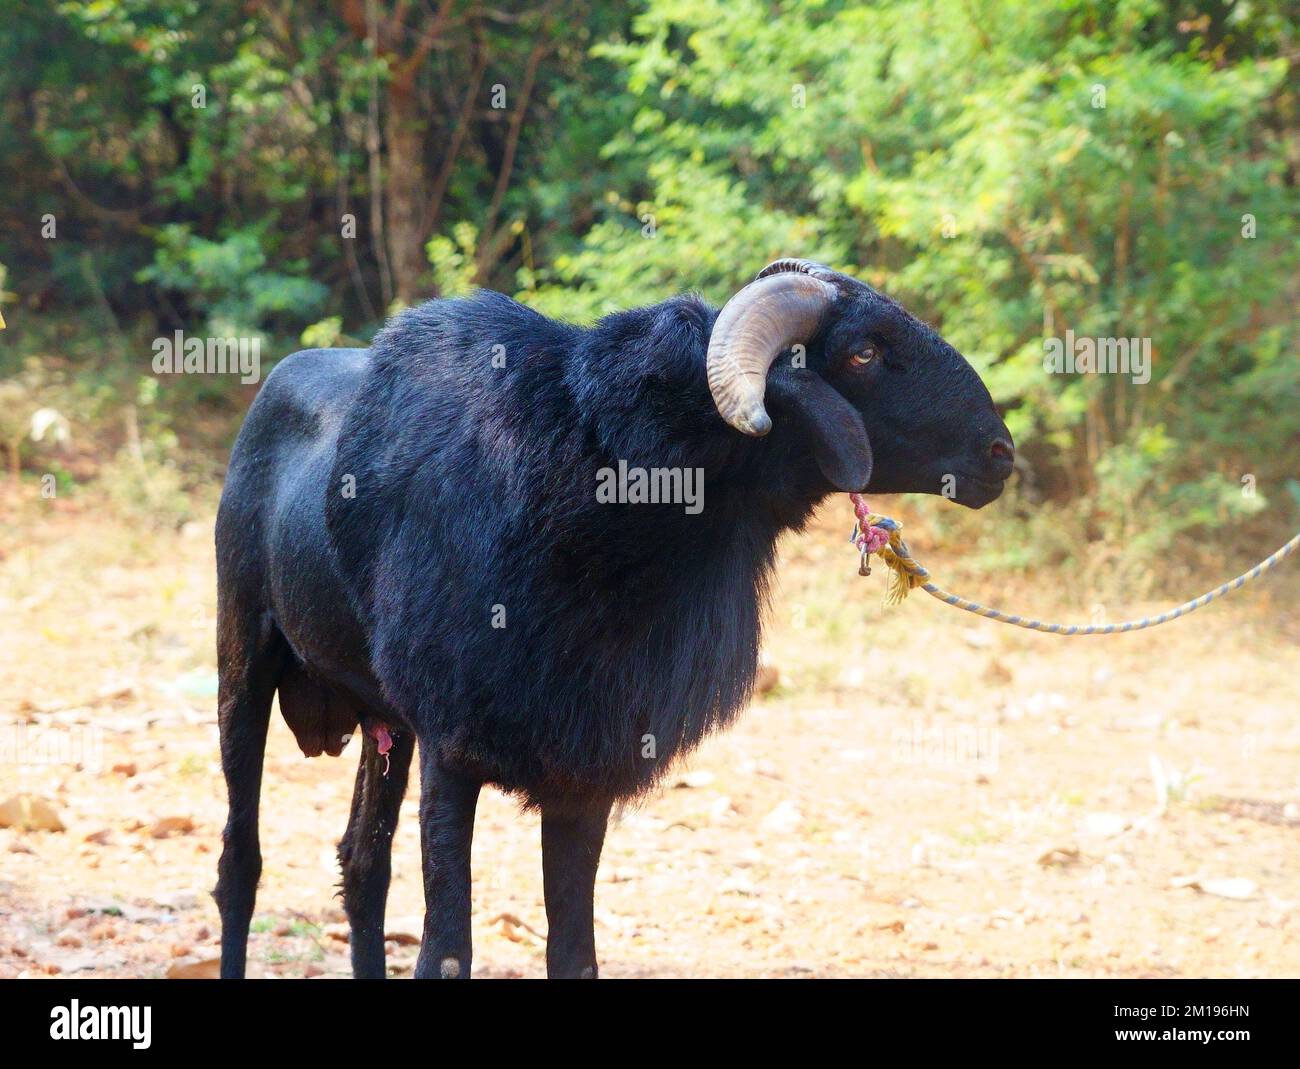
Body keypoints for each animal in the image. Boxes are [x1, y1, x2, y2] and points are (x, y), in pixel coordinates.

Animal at [214, 258, 1014, 978]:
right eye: (863, 352)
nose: (1001, 452)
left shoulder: (589, 762)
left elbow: (575, 955)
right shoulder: (452, 746)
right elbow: (447, 953)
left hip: (387, 719)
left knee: (362, 867)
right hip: (243, 655)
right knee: (239, 868)